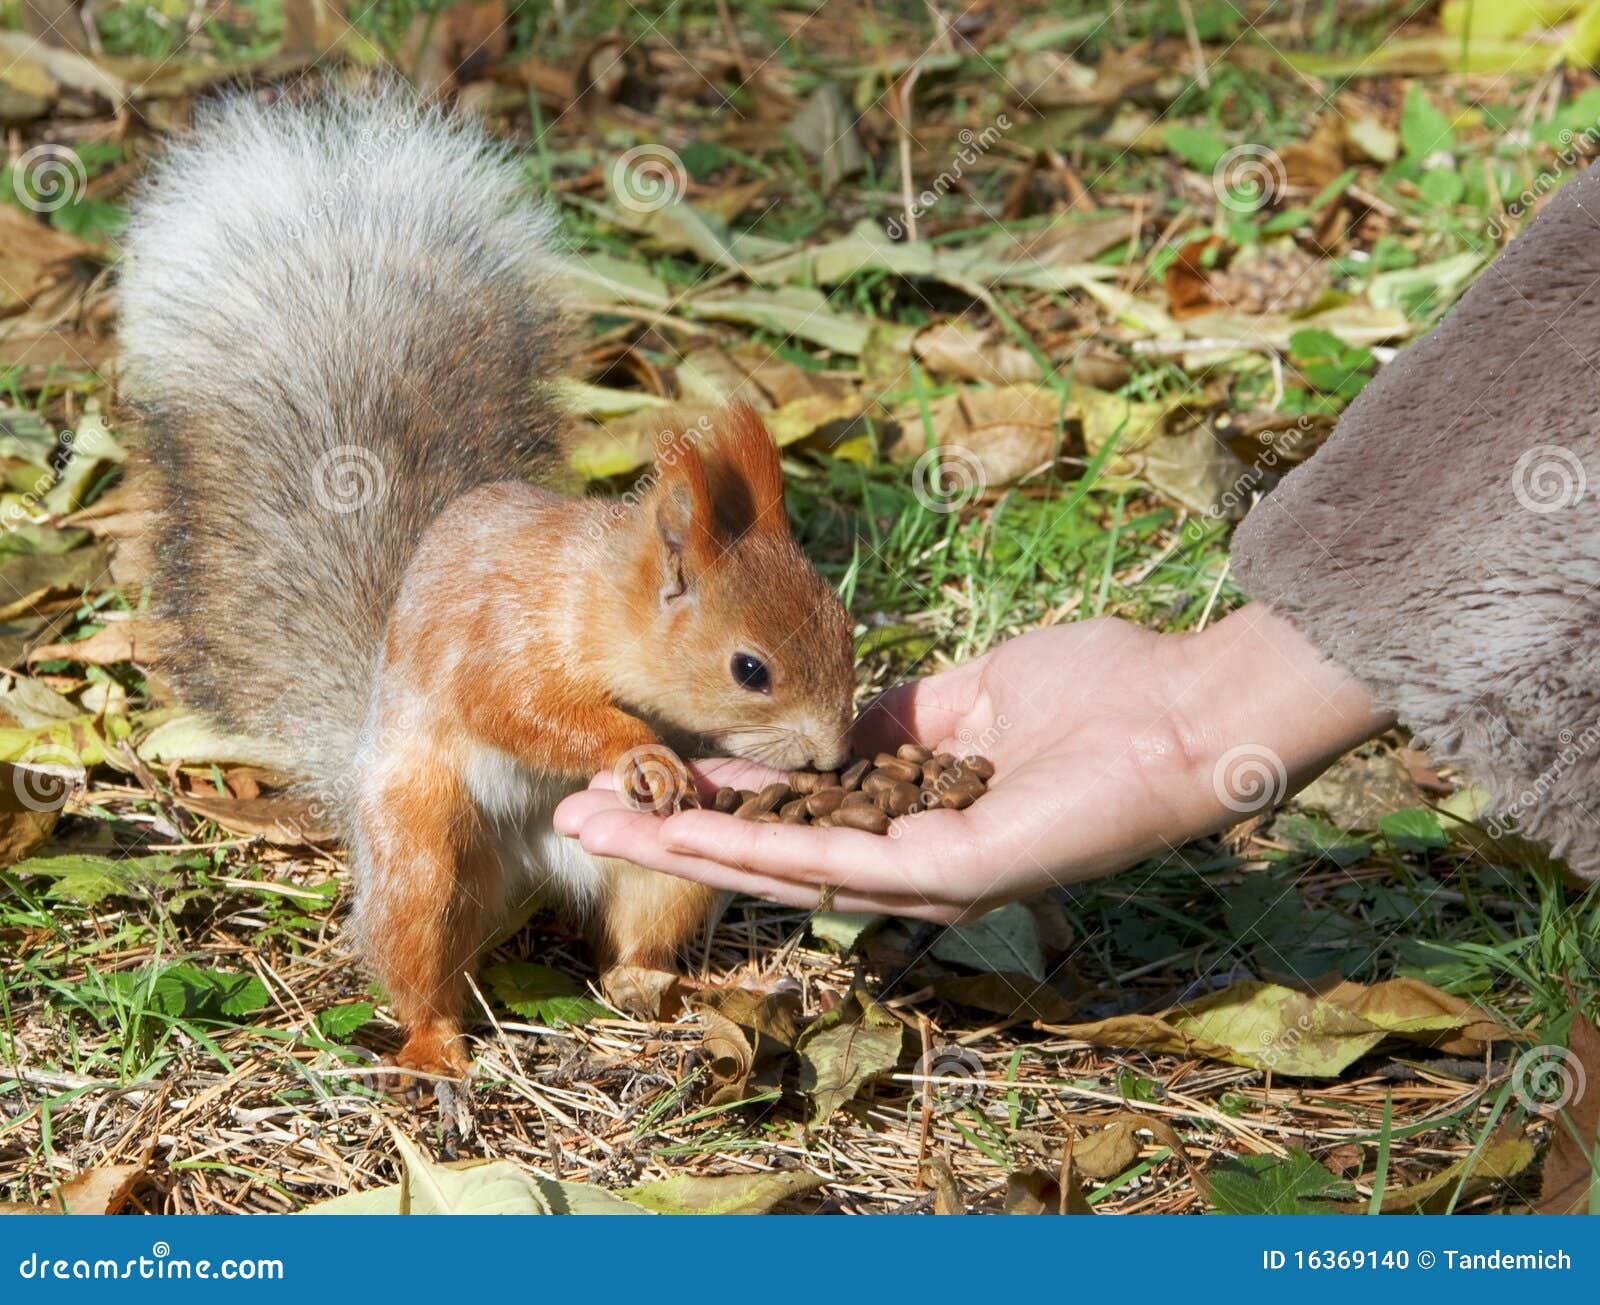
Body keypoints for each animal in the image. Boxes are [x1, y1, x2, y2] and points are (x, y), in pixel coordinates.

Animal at [117, 86, 856, 1078]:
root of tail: (536, 864)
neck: (589, 596)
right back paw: (436, 1047)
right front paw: (636, 750)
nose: (833, 757)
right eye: (750, 670)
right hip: (422, 844)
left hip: (658, 873)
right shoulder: (500, 635)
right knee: (416, 946)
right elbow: (515, 705)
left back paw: (670, 988)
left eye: (845, 626)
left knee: (630, 947)